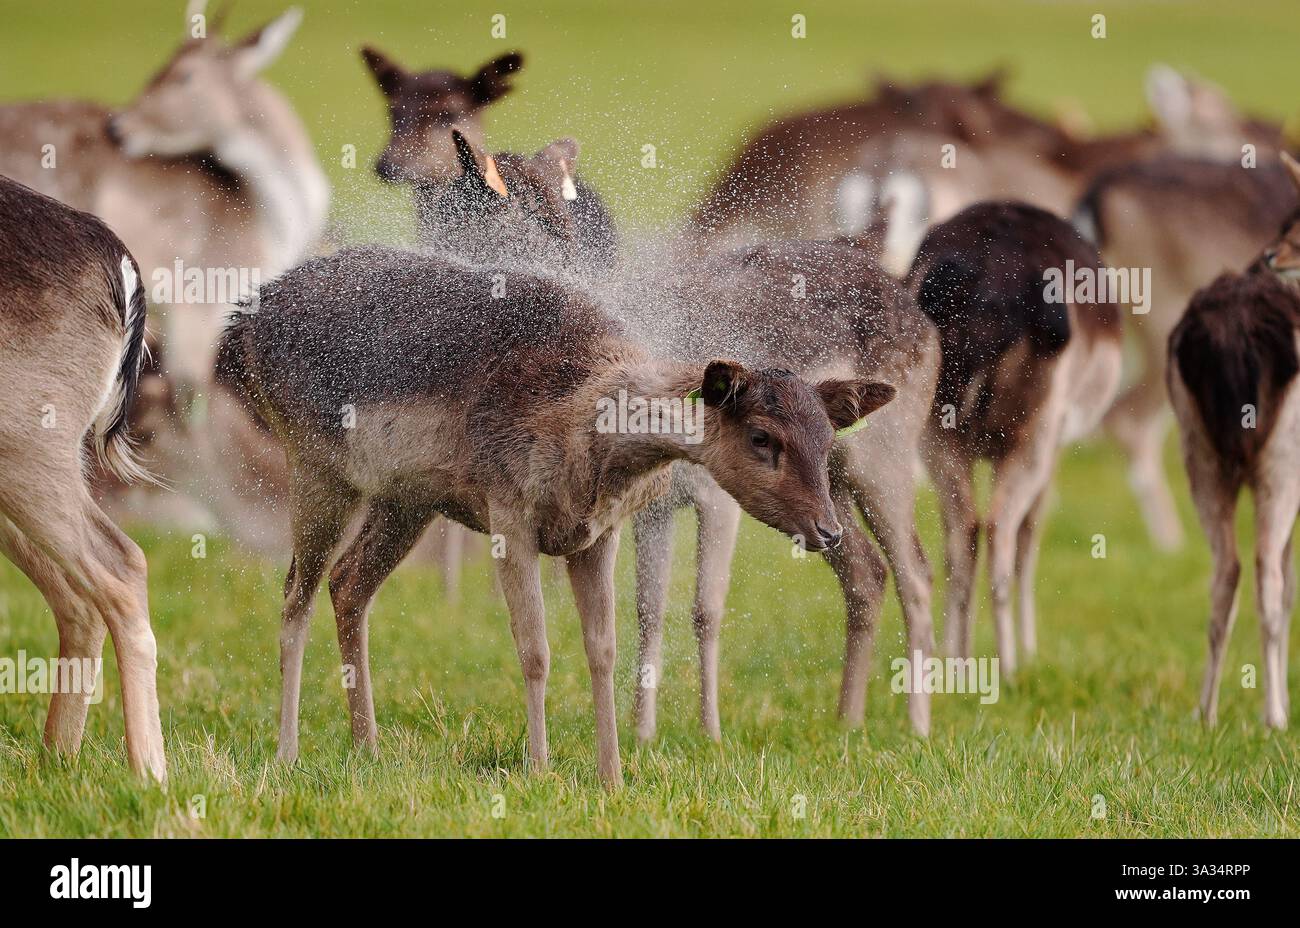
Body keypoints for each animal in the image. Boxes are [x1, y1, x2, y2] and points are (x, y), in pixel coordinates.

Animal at [0, 175, 165, 782]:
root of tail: (124, 268)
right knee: (76, 598)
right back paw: (54, 760)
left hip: (25, 437)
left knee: (121, 562)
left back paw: (149, 773)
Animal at [216, 246, 894, 788]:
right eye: (761, 437)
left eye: (826, 437)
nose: (828, 529)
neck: (588, 439)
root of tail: (242, 325)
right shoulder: (507, 512)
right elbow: (535, 648)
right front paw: (539, 768)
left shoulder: (595, 534)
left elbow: (603, 649)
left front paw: (612, 774)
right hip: (317, 466)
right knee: (294, 593)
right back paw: (288, 752)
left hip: (405, 498)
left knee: (348, 583)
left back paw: (368, 746)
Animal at [907, 202, 1123, 674]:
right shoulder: (1057, 441)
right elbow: (1032, 535)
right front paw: (1031, 650)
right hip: (1038, 427)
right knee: (1001, 527)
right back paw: (1009, 667)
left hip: (934, 427)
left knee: (964, 529)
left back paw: (958, 661)